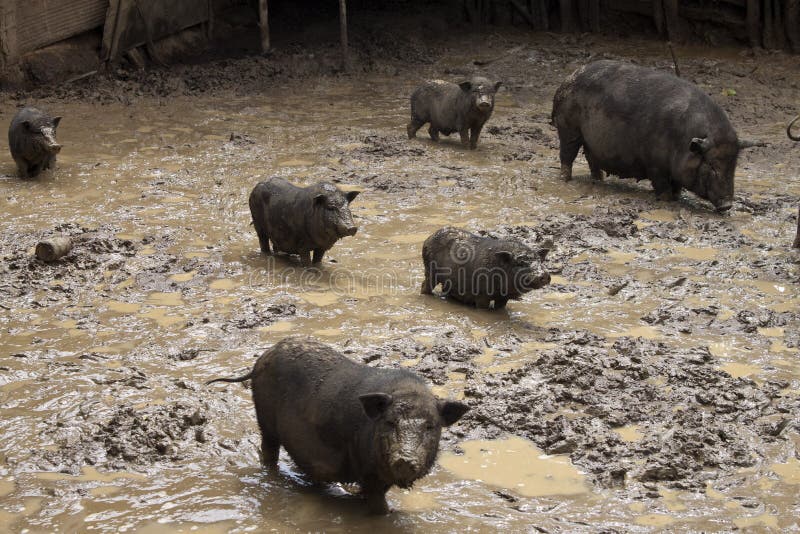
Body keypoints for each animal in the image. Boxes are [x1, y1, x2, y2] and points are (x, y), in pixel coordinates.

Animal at [206, 336, 469, 514]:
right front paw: (389, 513)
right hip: (265, 419)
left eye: (430, 426)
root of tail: (261, 360)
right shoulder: (368, 470)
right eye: (390, 422)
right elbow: (378, 504)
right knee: (269, 450)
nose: (405, 459)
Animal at [421, 227, 551, 309]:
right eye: (521, 262)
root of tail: (428, 238)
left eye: (539, 261)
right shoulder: (481, 294)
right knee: (425, 286)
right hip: (430, 270)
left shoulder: (503, 298)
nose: (544, 274)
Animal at [552, 60, 762, 212]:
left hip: (590, 141)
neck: (682, 139)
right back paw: (565, 180)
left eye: (734, 166)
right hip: (568, 127)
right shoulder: (654, 163)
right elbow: (662, 186)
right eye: (711, 165)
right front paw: (666, 201)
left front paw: (677, 198)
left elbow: (677, 187)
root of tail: (567, 79)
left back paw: (599, 181)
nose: (727, 205)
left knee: (590, 158)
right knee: (567, 154)